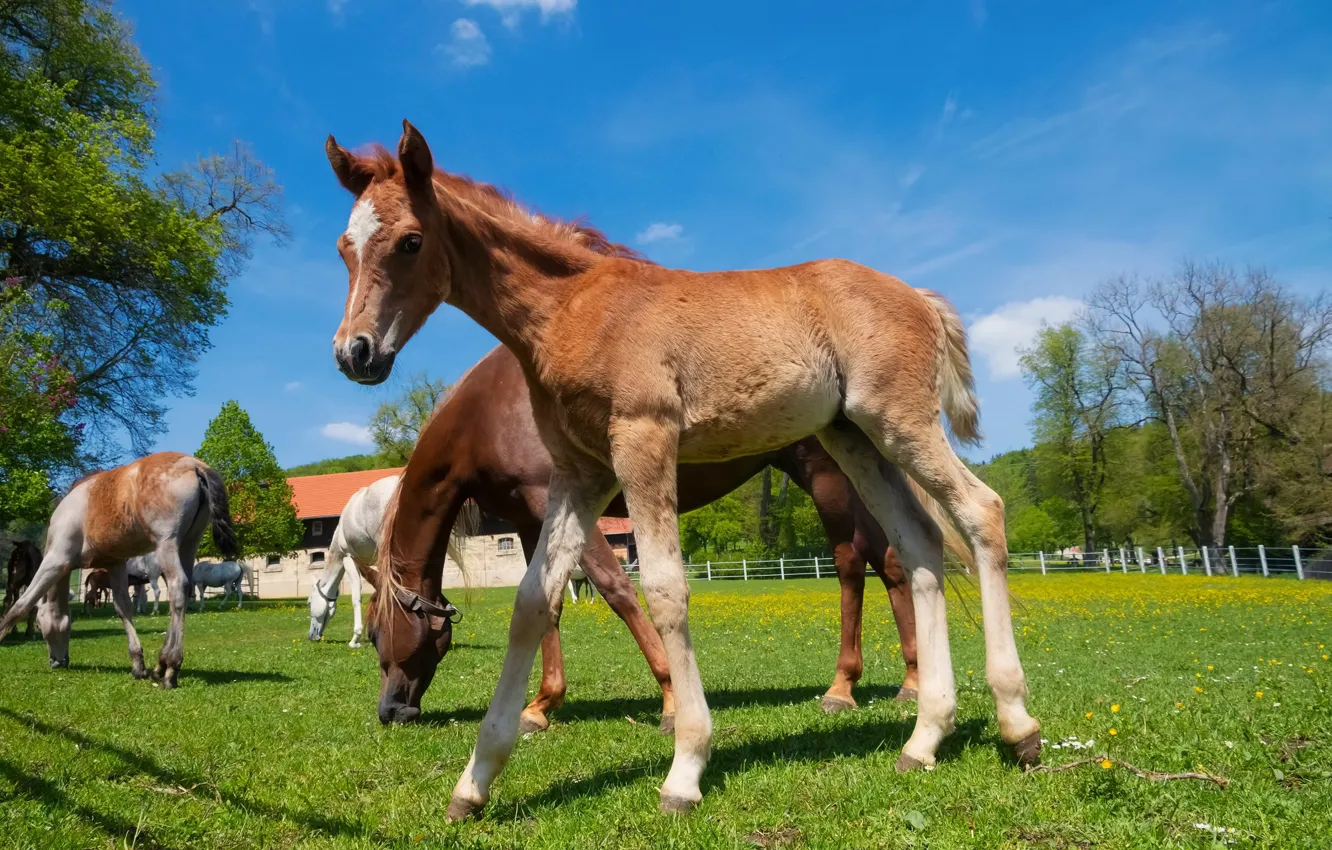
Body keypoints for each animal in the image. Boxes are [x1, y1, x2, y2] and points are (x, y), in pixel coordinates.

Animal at [0, 452, 237, 687]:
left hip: (166, 544)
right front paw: (138, 666)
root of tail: (194, 465)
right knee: (184, 593)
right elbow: (123, 607)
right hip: (188, 544)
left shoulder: (56, 561)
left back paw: (170, 668)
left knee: (178, 588)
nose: (58, 662)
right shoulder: (115, 564)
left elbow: (20, 605)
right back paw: (160, 666)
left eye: (40, 625)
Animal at [369, 344, 971, 731]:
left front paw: (669, 701)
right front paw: (541, 705)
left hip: (823, 475)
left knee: (851, 562)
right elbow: (548, 605)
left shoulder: (563, 504)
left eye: (377, 637)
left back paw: (844, 688)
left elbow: (617, 591)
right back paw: (911, 680)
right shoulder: (530, 517)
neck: (489, 411)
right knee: (889, 559)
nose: (390, 711)